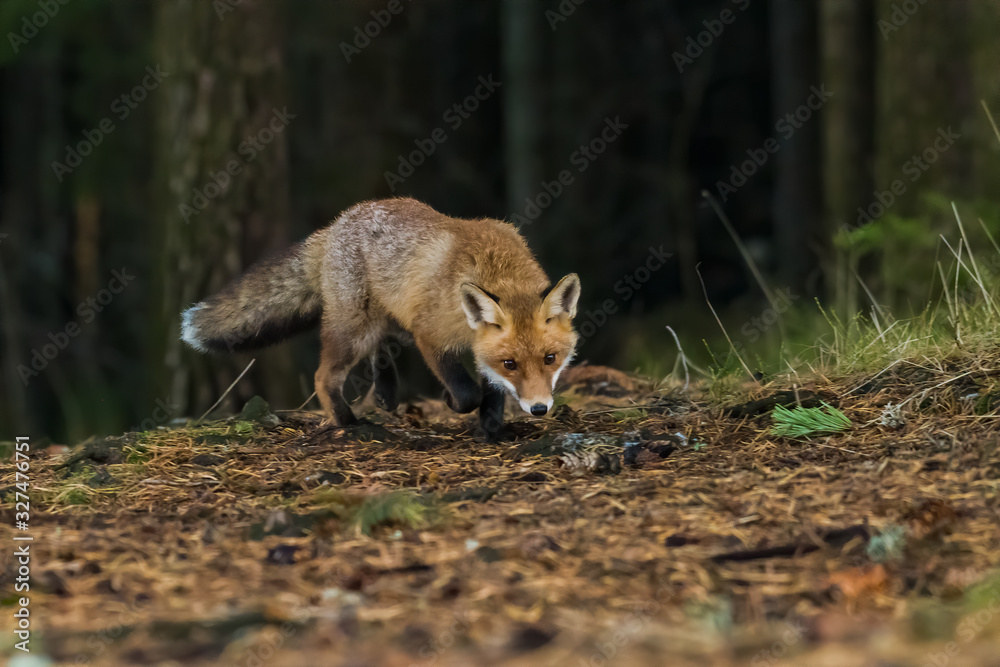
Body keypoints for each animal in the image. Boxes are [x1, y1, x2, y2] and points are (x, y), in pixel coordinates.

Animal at [180, 197, 581, 439]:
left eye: (550, 358)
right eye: (511, 363)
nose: (539, 409)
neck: (494, 268)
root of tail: (337, 224)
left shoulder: (477, 346)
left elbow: (491, 390)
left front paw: (492, 426)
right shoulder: (430, 335)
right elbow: (467, 392)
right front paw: (454, 403)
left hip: (385, 319)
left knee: (383, 344)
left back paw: (386, 393)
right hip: (354, 330)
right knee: (324, 376)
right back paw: (350, 424)